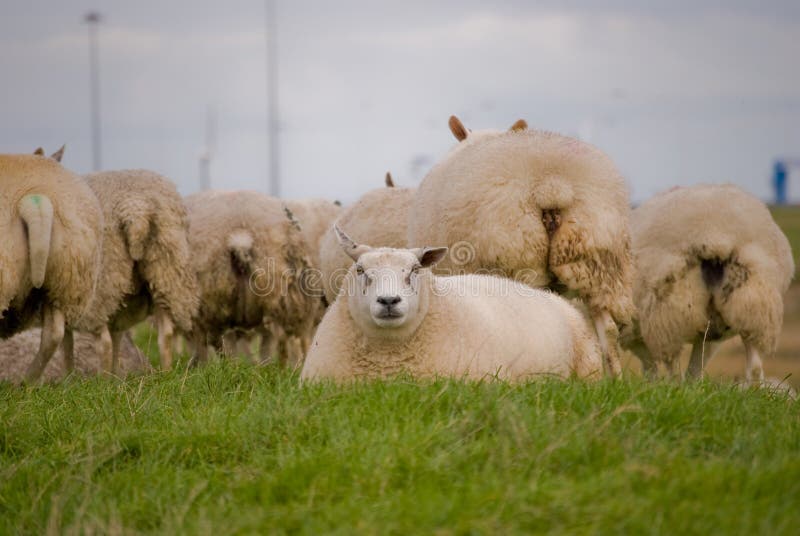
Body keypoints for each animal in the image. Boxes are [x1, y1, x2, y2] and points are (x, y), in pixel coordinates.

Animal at [81, 169, 200, 372]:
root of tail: (135, 209)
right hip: (165, 270)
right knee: (165, 334)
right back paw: (165, 373)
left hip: (104, 282)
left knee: (104, 341)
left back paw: (103, 377)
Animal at [622, 184, 794, 384]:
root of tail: (713, 235)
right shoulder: (711, 333)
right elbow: (694, 367)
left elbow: (650, 366)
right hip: (754, 308)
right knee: (755, 368)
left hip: (669, 311)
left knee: (673, 368)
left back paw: (673, 385)